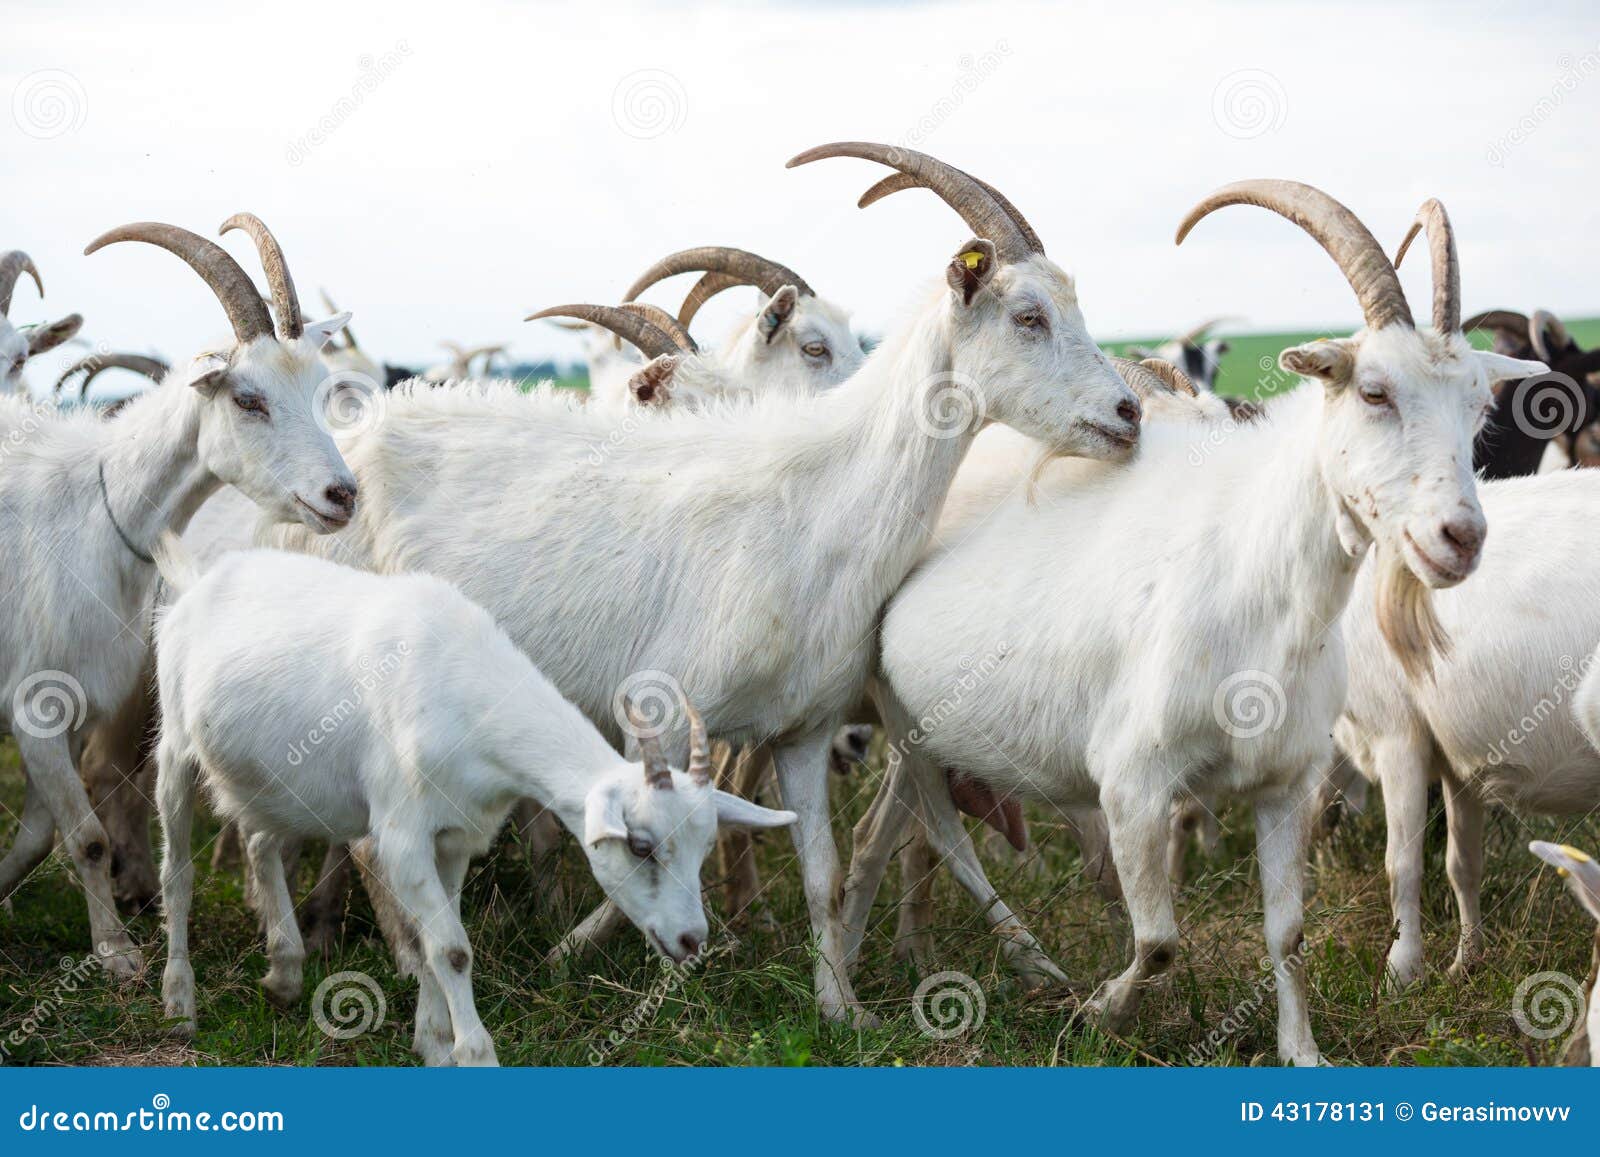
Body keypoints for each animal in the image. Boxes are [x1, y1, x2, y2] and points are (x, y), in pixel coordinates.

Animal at [152, 540, 792, 1065]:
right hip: (176, 745)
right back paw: (179, 1003)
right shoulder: (402, 834)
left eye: (704, 848)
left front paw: (433, 1043)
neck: (464, 691)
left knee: (259, 840)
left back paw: (284, 974)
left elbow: (440, 940)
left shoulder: (454, 836)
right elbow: (452, 948)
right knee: (177, 871)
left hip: (283, 788)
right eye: (639, 845)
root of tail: (202, 578)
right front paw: (474, 1054)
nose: (691, 941)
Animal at [264, 142, 1143, 1023]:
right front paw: (583, 960)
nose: (1129, 412)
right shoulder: (654, 710)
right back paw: (397, 958)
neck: (812, 507)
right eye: (1029, 316)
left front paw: (840, 1007)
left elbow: (821, 874)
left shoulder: (806, 730)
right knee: (366, 835)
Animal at [841, 187, 1544, 1064]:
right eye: (1374, 391)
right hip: (903, 714)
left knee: (891, 831)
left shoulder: (1285, 784)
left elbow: (1287, 933)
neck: (1256, 587)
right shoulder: (1134, 783)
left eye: (1479, 406)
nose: (1461, 536)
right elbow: (1160, 940)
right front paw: (1104, 1012)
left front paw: (1301, 1050)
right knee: (933, 833)